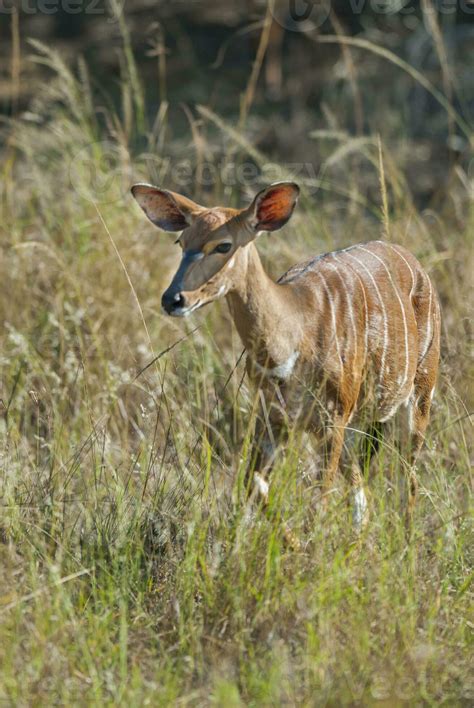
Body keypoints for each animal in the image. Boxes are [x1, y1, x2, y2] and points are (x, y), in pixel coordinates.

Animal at [131, 181, 441, 535]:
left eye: (223, 245)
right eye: (181, 241)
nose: (173, 299)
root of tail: (417, 265)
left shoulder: (332, 417)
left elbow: (320, 500)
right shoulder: (274, 417)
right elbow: (254, 484)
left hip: (418, 396)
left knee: (407, 480)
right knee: (364, 490)